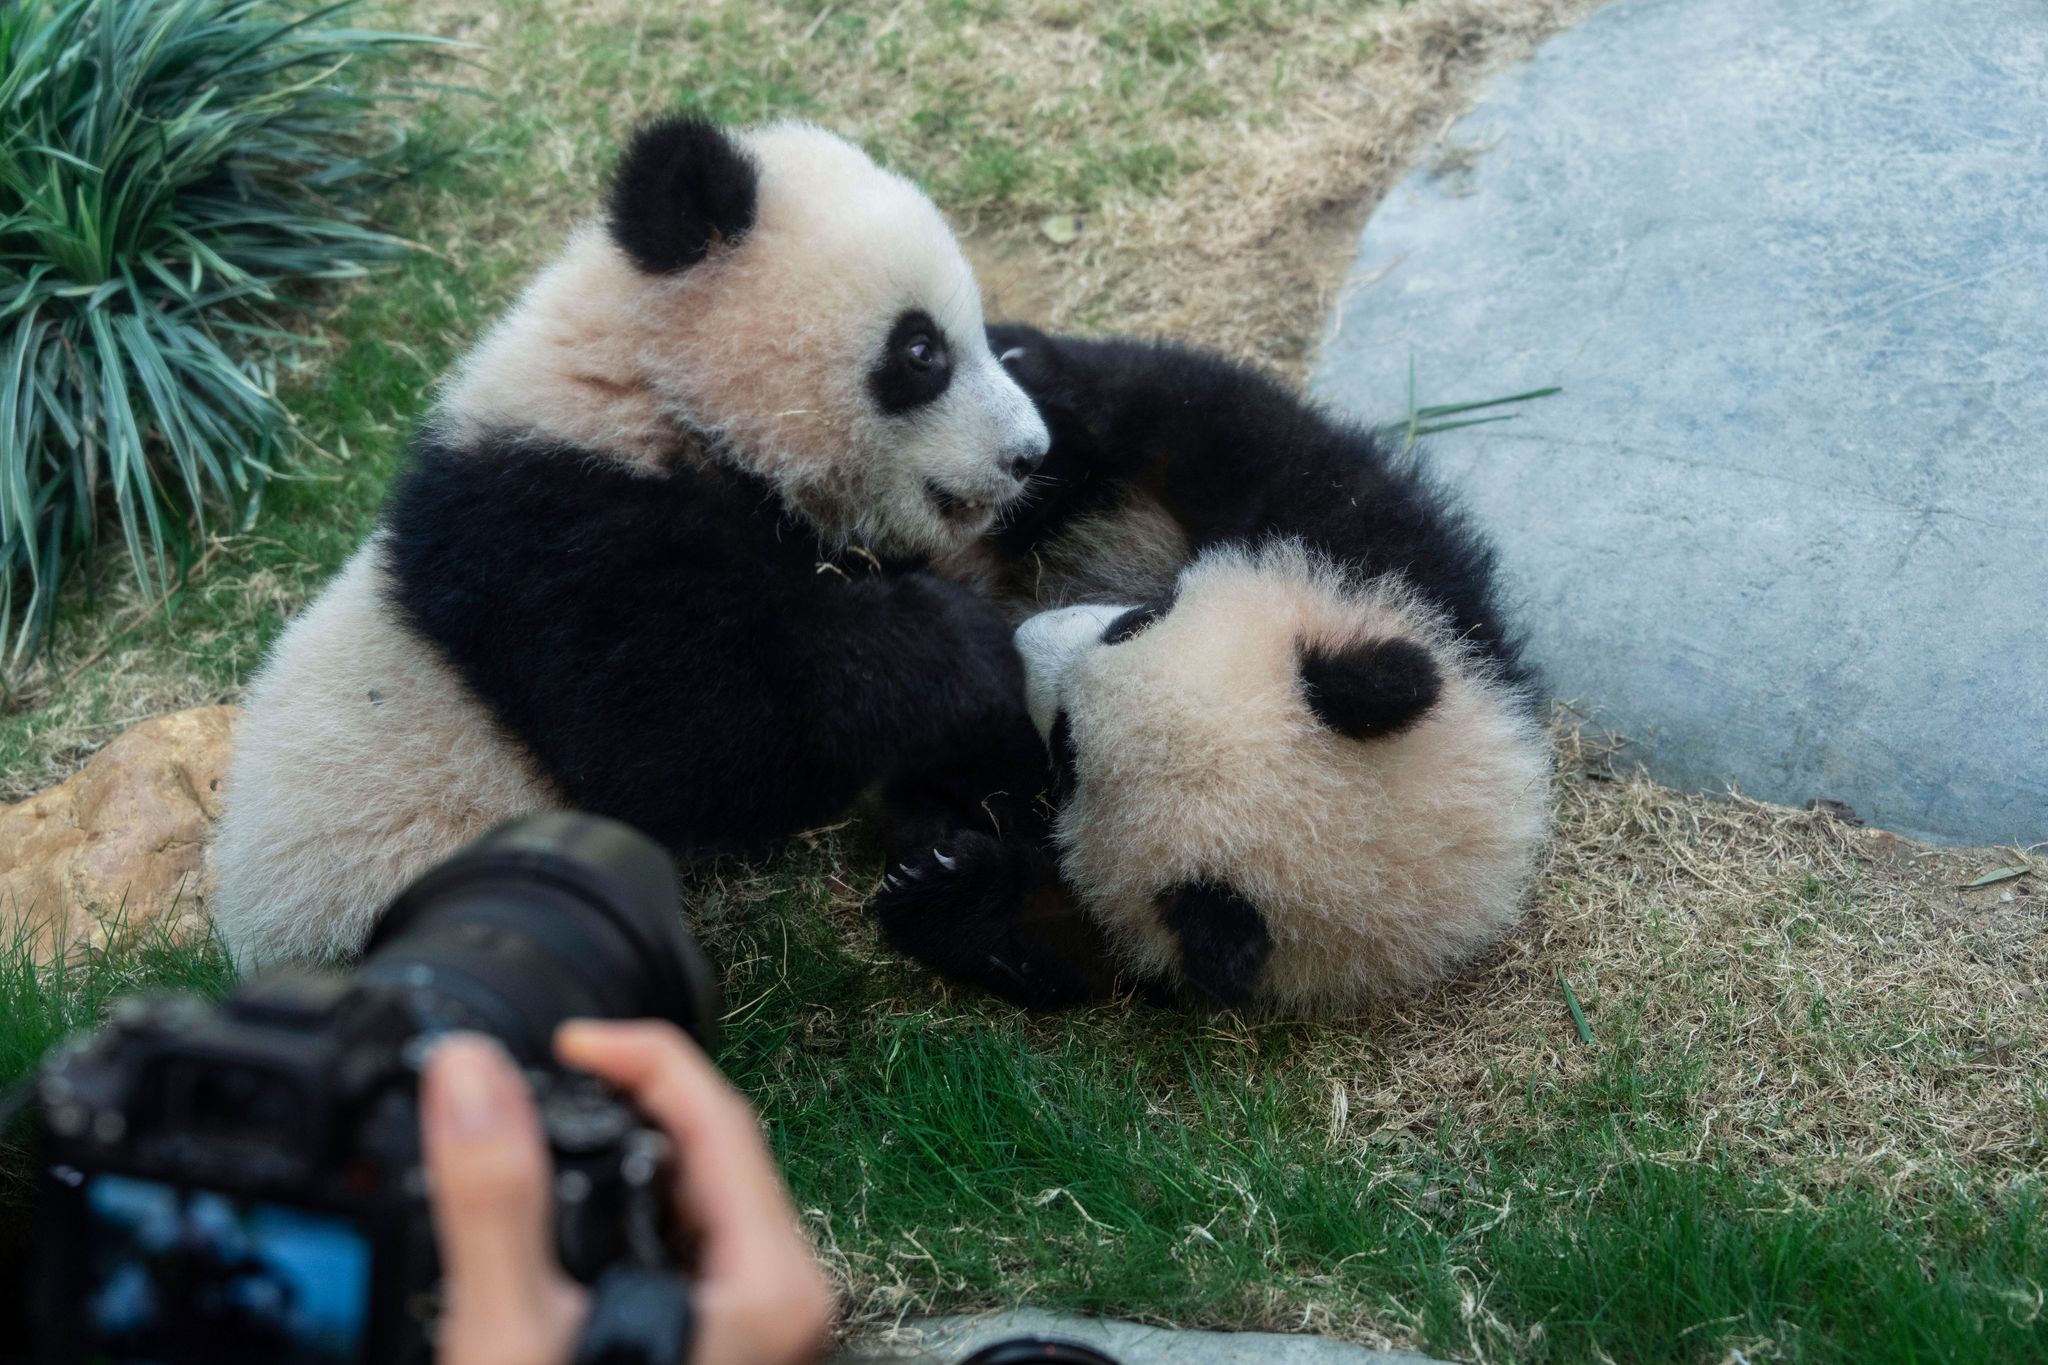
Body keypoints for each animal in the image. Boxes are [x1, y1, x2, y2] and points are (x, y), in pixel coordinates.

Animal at [212, 115, 1050, 969]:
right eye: (922, 350)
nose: (1029, 453)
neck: (648, 385)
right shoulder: (549, 535)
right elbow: (671, 738)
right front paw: (963, 646)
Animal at [873, 329, 1552, 1013]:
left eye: (1067, 756)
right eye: (1139, 619)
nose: (1022, 641)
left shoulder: (1140, 952)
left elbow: (1053, 936)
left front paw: (943, 884)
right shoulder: (1404, 575)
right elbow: (1217, 422)